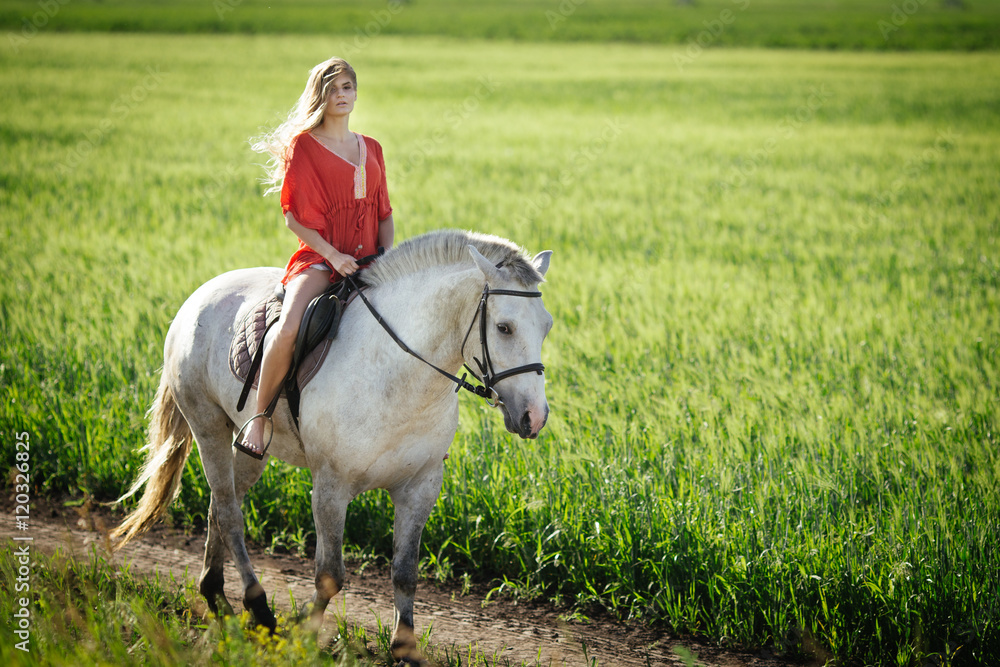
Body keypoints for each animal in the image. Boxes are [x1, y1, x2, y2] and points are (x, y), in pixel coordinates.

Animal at [110, 229, 552, 663]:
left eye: (546, 326)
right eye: (504, 327)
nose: (535, 417)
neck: (398, 373)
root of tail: (198, 296)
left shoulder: (420, 486)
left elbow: (405, 573)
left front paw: (404, 649)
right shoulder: (331, 487)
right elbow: (330, 575)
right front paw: (300, 633)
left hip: (248, 449)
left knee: (220, 507)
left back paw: (216, 597)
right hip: (208, 429)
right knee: (230, 514)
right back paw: (257, 607)